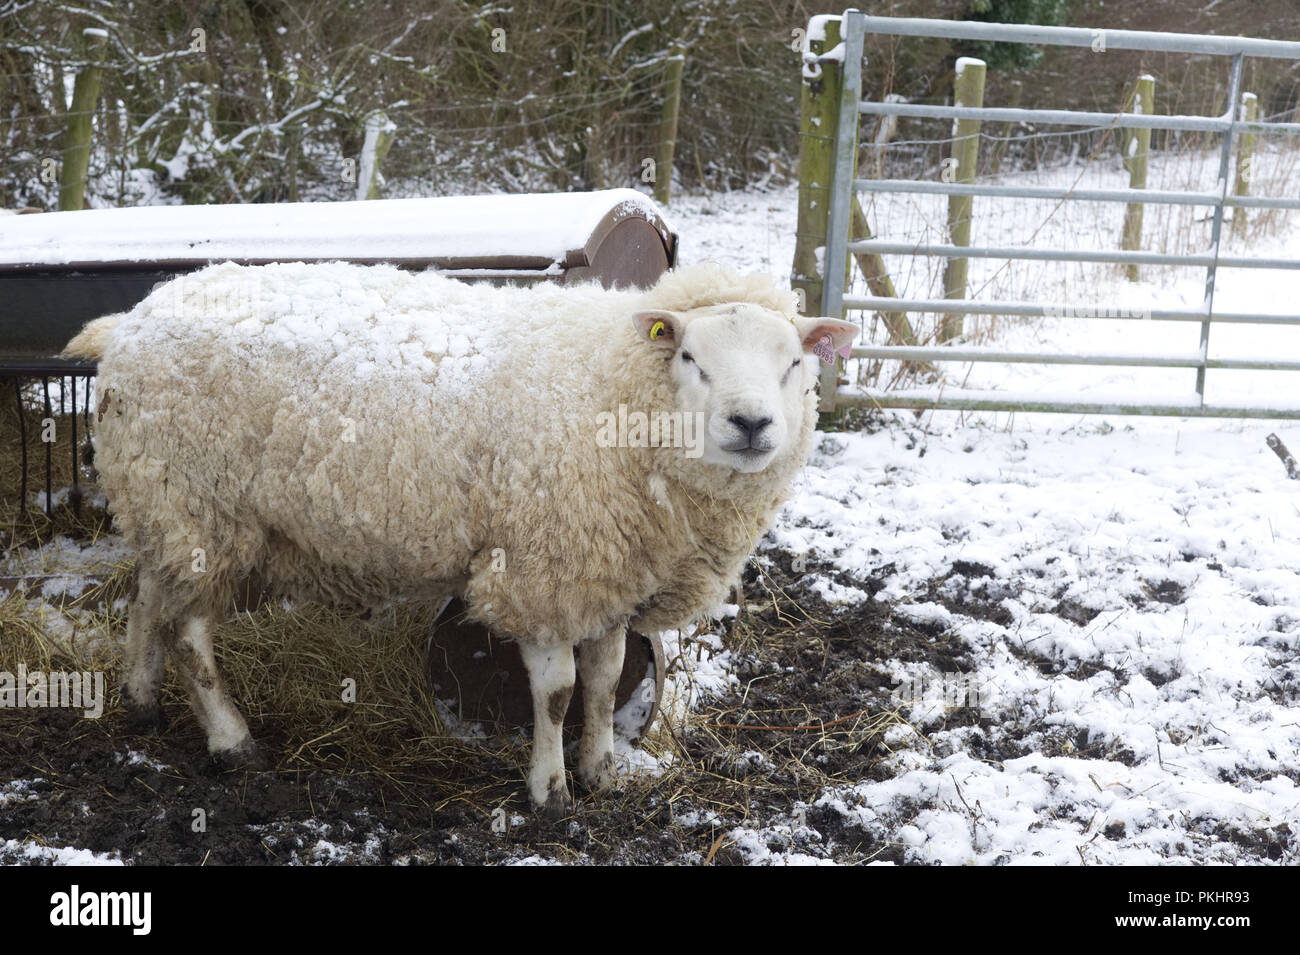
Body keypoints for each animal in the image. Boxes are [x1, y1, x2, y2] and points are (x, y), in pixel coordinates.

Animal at [63, 259, 857, 817]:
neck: (612, 386)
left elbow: (605, 680)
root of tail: (130, 321)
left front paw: (601, 771)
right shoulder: (546, 564)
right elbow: (558, 692)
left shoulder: (608, 570)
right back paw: (232, 741)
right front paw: (550, 790)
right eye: (692, 358)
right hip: (201, 508)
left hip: (164, 506)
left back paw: (140, 700)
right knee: (190, 630)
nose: (751, 424)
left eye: (794, 362)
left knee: (149, 595)